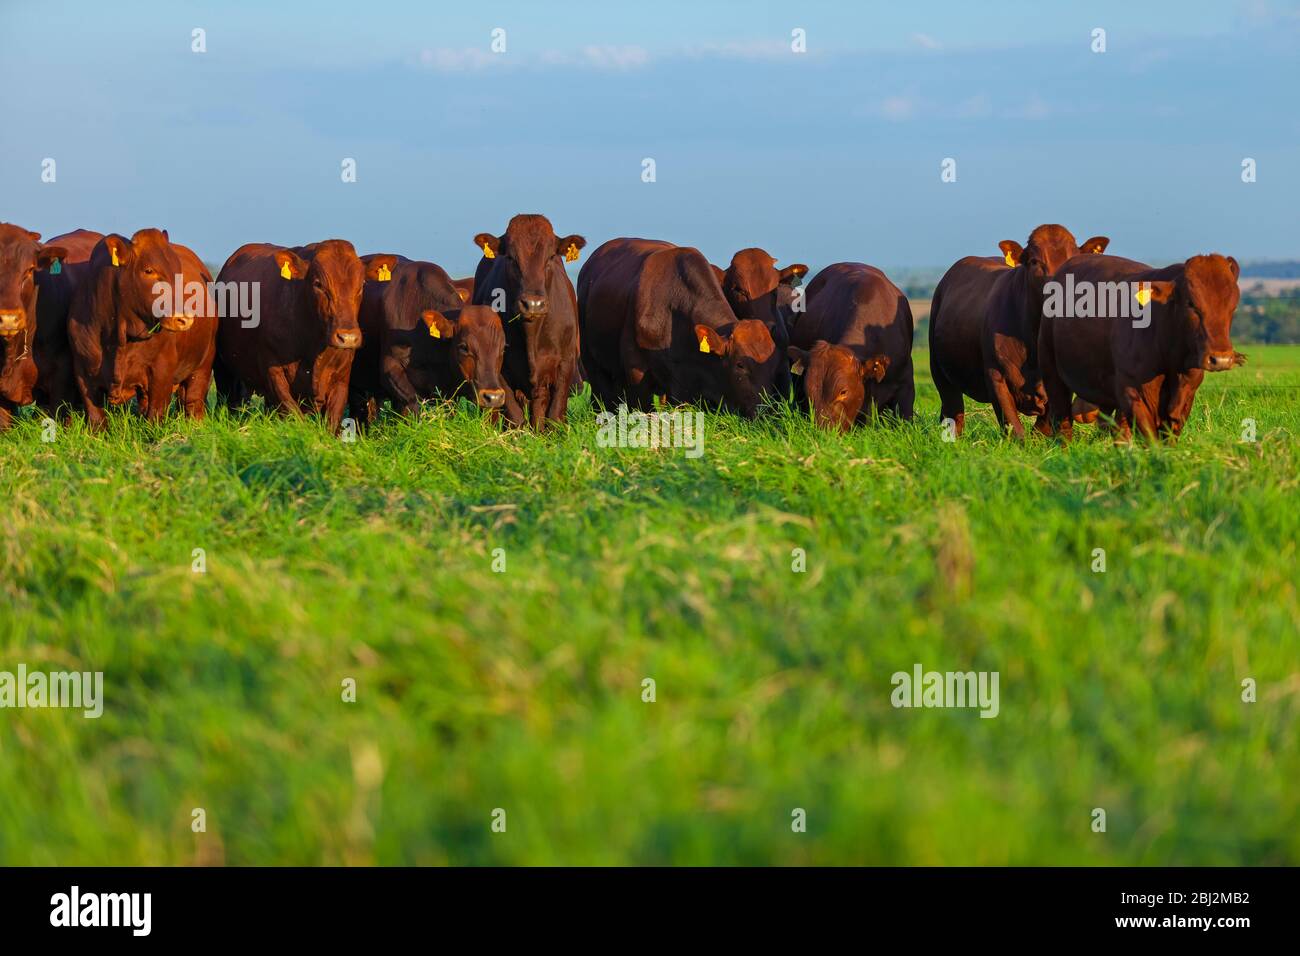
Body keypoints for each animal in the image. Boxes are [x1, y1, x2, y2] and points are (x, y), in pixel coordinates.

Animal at [66, 229, 208, 429]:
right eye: (148, 270)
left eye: (177, 270)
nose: (185, 318)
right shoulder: (83, 372)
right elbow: (96, 419)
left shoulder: (161, 370)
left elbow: (156, 414)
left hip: (203, 366)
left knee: (193, 403)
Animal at [216, 239, 380, 434]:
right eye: (318, 284)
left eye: (361, 285)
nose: (347, 337)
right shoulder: (274, 372)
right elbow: (293, 414)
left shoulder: (341, 378)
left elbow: (332, 421)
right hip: (223, 369)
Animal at [470, 214, 585, 430]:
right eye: (510, 258)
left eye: (550, 257)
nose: (533, 304)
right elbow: (515, 417)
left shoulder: (566, 362)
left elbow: (555, 415)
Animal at [929, 224, 1108, 438]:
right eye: (1034, 261)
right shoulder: (996, 376)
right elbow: (1014, 427)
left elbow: (1042, 427)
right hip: (939, 371)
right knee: (953, 411)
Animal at [1039, 253, 1244, 443]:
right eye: (1191, 304)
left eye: (1233, 306)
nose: (1221, 359)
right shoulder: (1133, 392)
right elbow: (1150, 438)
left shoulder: (1186, 395)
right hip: (1052, 371)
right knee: (1062, 420)